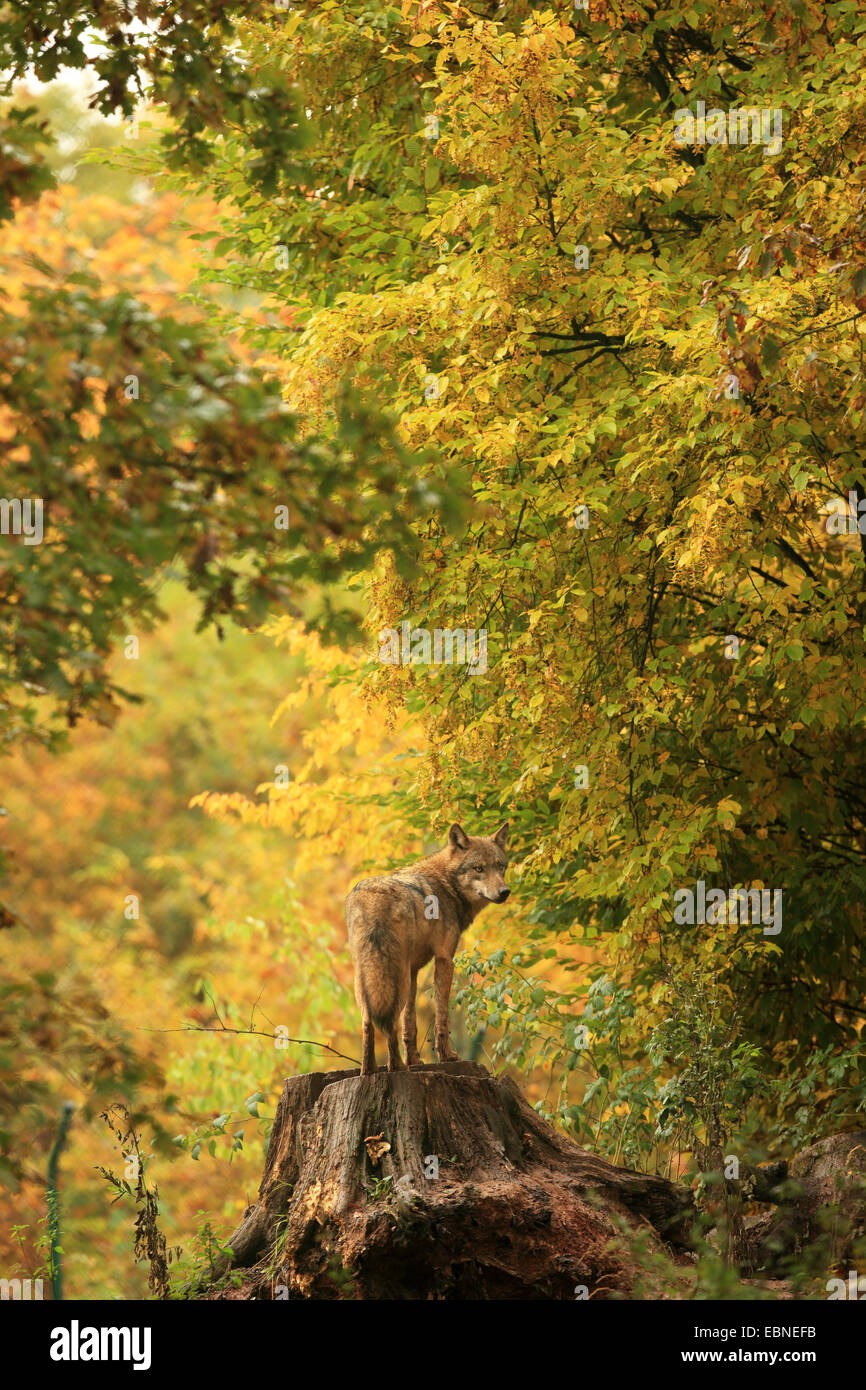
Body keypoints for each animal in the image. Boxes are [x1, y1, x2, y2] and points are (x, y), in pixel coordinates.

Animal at [346, 822, 510, 1074]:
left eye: (500, 866)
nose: (504, 892)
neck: (447, 885)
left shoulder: (414, 970)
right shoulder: (444, 959)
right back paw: (396, 1068)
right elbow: (441, 1015)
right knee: (390, 1024)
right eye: (479, 868)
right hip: (396, 978)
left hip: (367, 979)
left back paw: (369, 1071)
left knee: (368, 1022)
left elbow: (409, 1022)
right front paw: (446, 1056)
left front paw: (414, 1060)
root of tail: (374, 897)